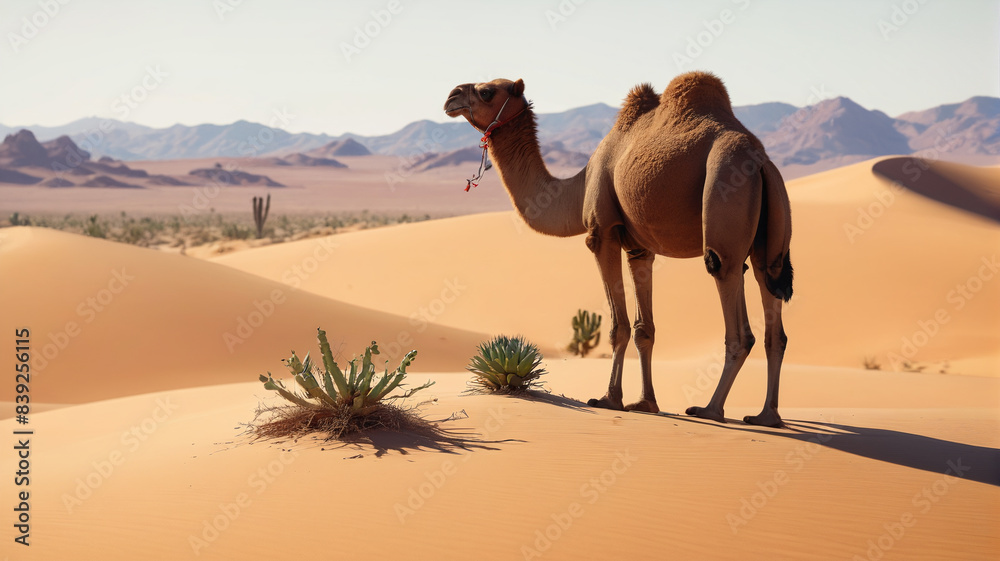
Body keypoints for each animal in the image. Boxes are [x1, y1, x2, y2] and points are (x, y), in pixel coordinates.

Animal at [443, 72, 793, 427]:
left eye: (487, 92)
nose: (451, 97)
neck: (578, 187)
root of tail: (761, 162)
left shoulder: (602, 233)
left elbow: (618, 327)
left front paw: (609, 398)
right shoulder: (640, 248)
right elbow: (643, 329)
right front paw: (645, 402)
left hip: (725, 195)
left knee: (730, 292)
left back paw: (710, 409)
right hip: (773, 232)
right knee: (772, 308)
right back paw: (766, 415)